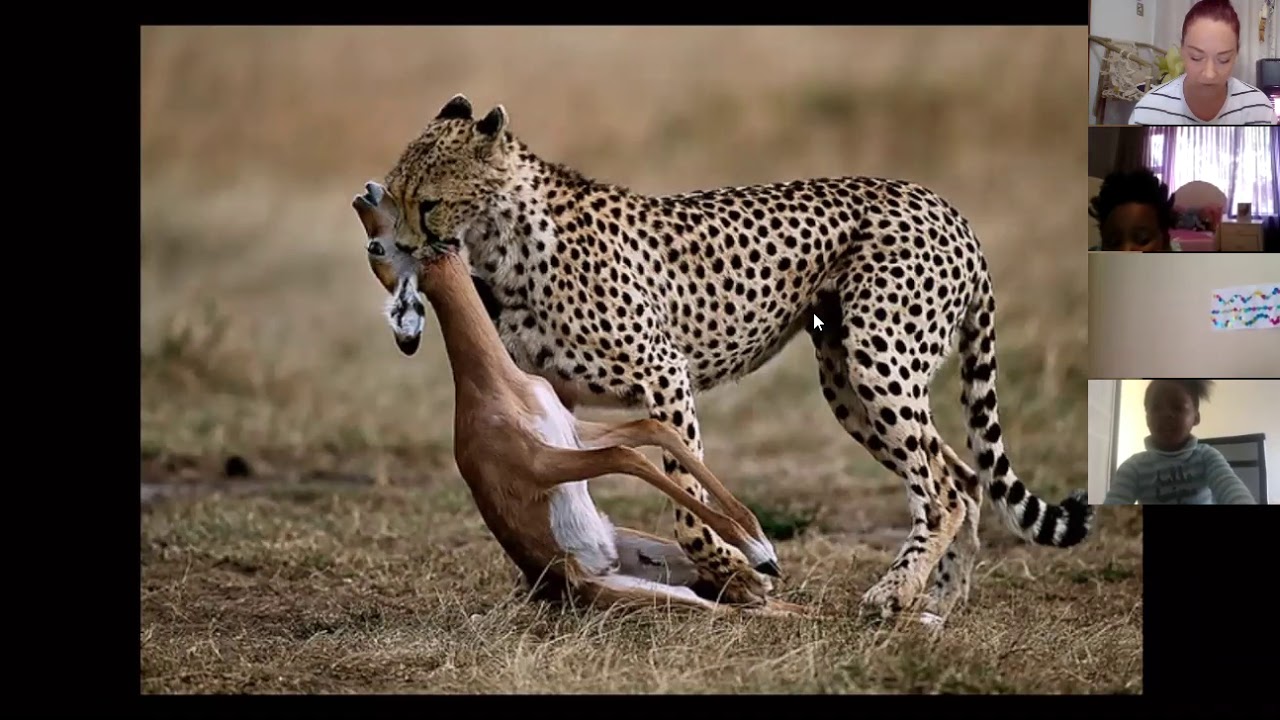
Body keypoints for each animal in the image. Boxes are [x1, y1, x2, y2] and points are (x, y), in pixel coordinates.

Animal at [369, 92, 1094, 623]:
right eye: (394, 195)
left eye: (426, 203)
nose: (390, 248)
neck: (505, 239)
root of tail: (946, 207)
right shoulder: (561, 401)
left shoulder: (663, 375)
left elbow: (688, 502)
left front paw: (732, 570)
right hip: (849, 380)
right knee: (965, 480)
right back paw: (935, 603)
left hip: (879, 362)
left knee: (941, 490)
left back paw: (896, 592)